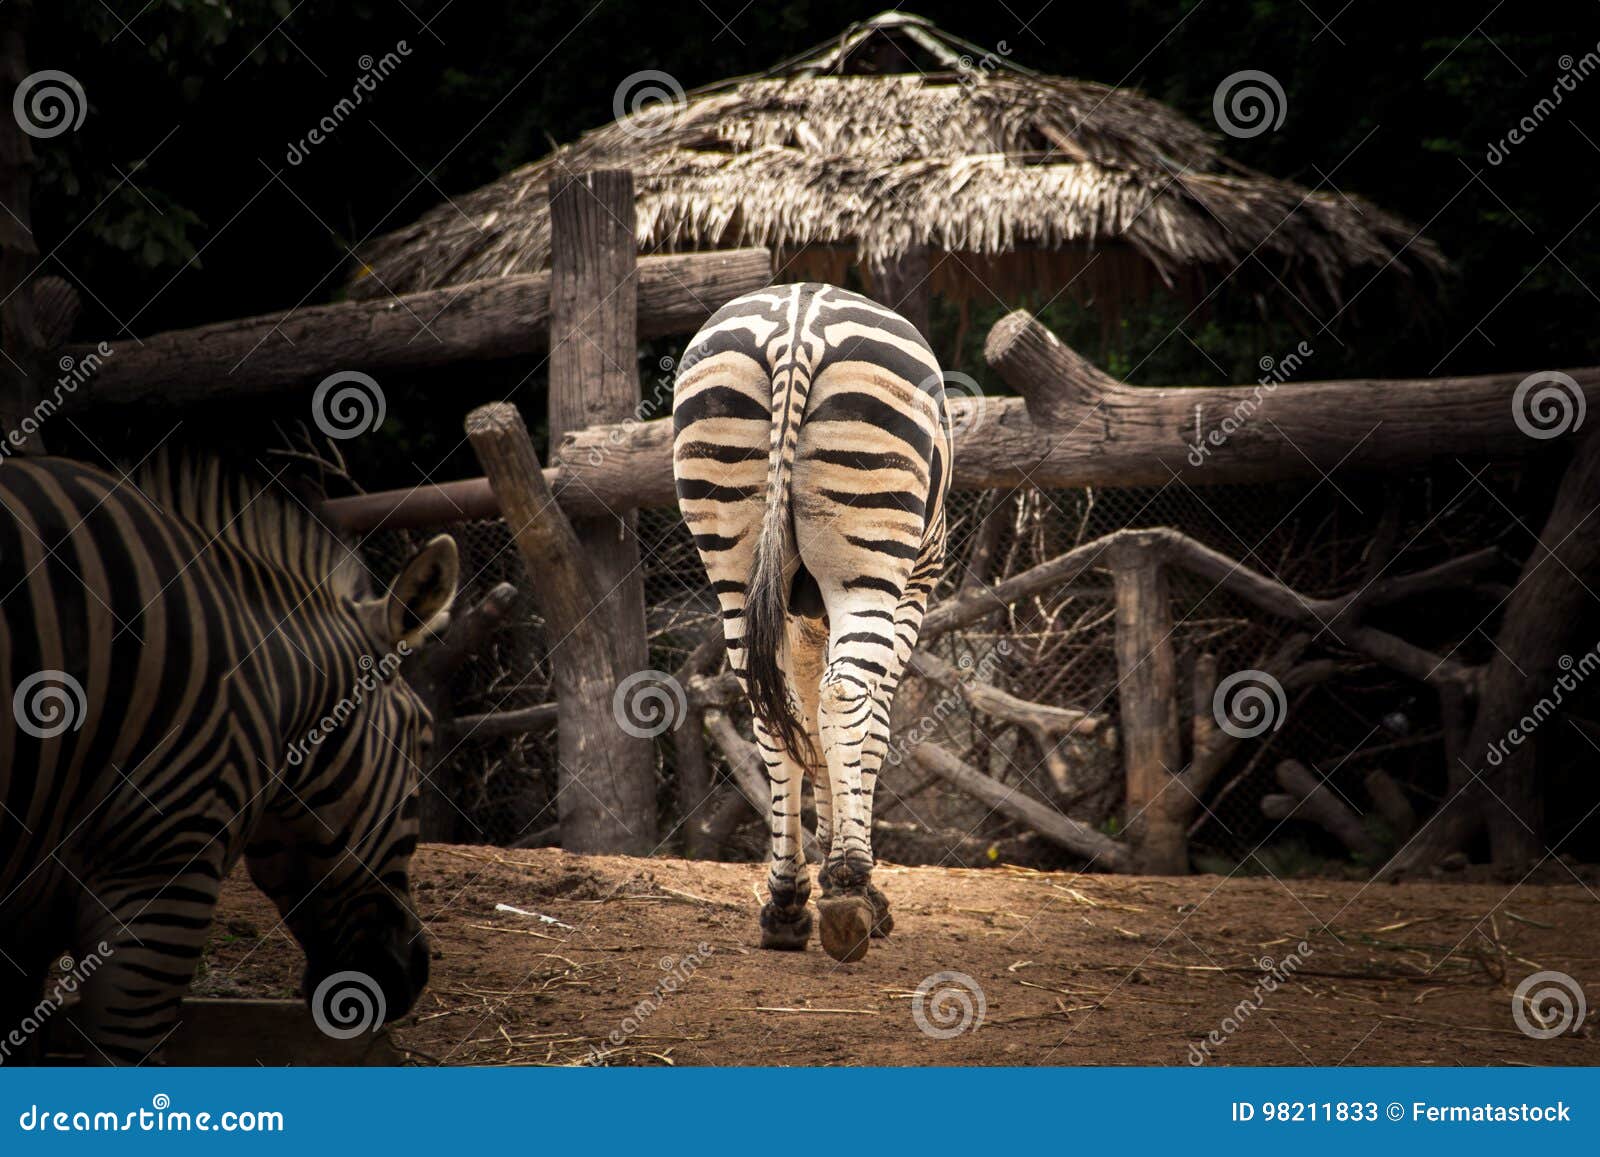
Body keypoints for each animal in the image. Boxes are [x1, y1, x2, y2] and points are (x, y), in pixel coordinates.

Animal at [673, 283, 950, 963]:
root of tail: (798, 321)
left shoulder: (801, 613)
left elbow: (812, 731)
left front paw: (819, 874)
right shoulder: (916, 587)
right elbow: (871, 727)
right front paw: (856, 881)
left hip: (732, 553)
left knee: (770, 713)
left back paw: (785, 903)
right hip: (870, 559)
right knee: (848, 692)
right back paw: (849, 891)